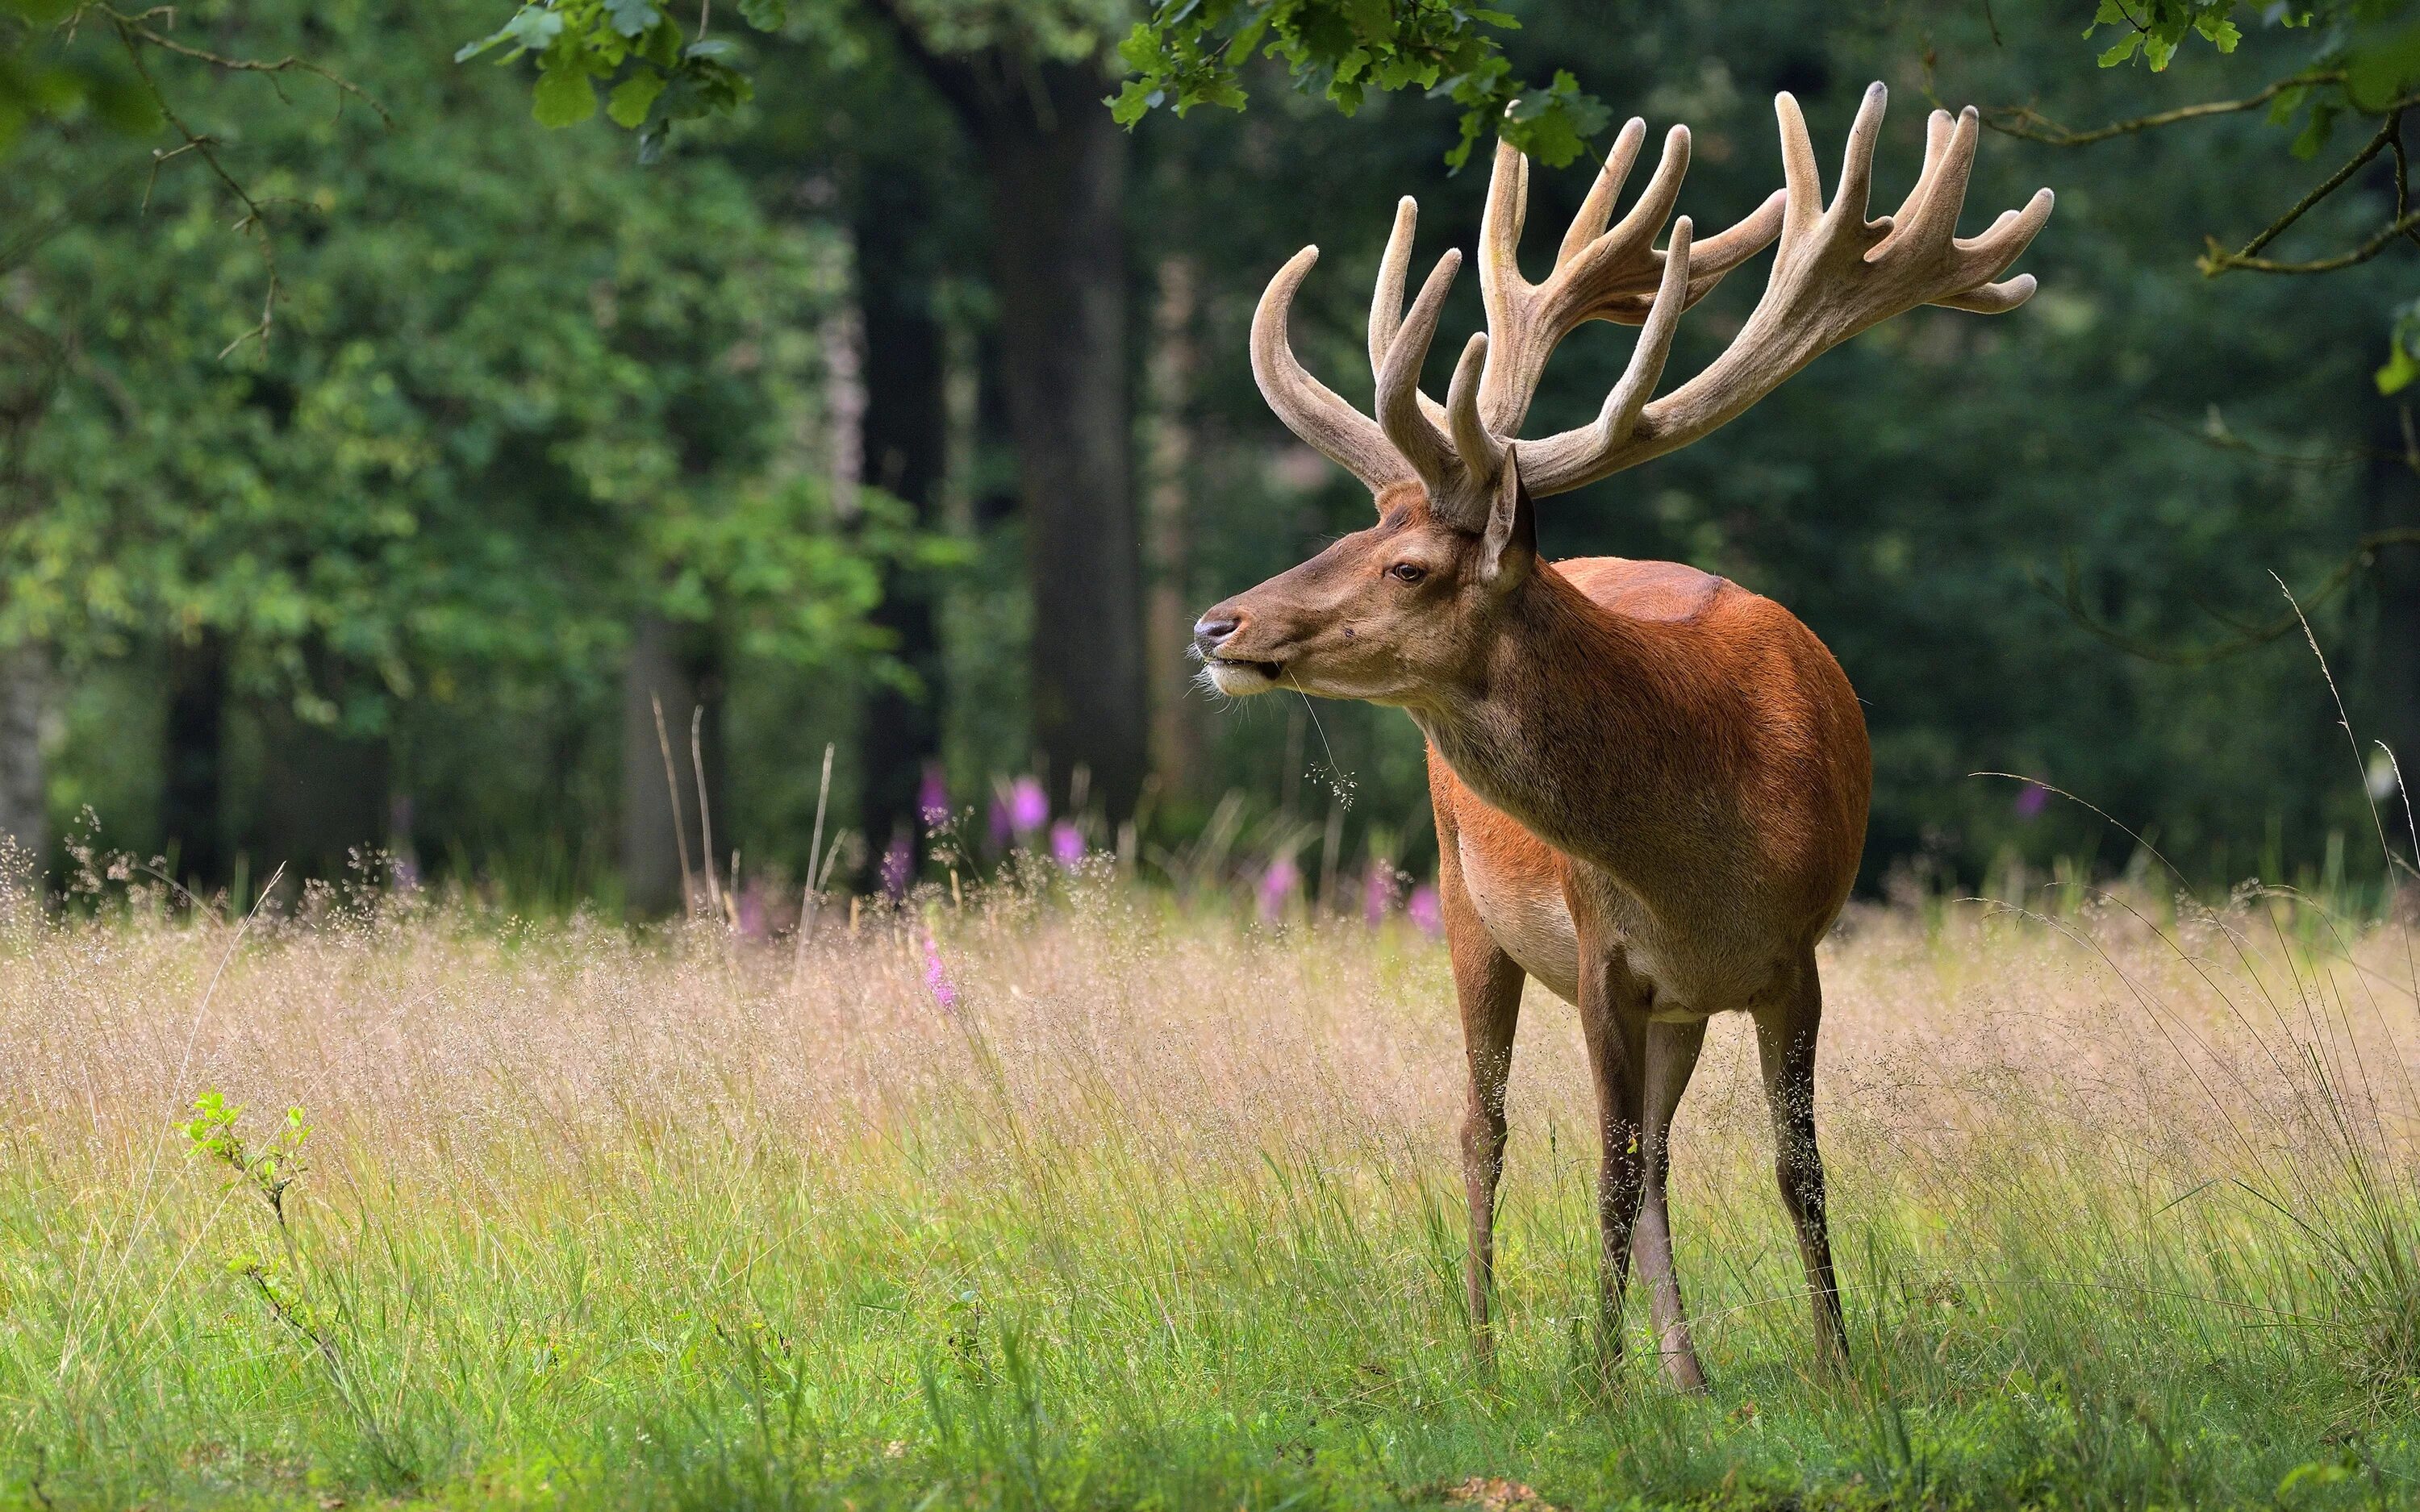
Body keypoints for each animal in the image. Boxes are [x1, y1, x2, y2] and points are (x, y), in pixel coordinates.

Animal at [1191, 80, 2042, 1384]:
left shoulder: (1795, 958)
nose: (1216, 623)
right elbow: (1605, 1170)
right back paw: (1487, 1348)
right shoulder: (1604, 955)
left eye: (1405, 563)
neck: (1700, 852)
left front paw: (1837, 1367)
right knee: (1484, 1125)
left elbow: (1793, 1169)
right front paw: (1595, 1385)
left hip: (1673, 1004)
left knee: (1652, 1151)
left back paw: (1683, 1368)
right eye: (1348, 531)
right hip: (1465, 899)